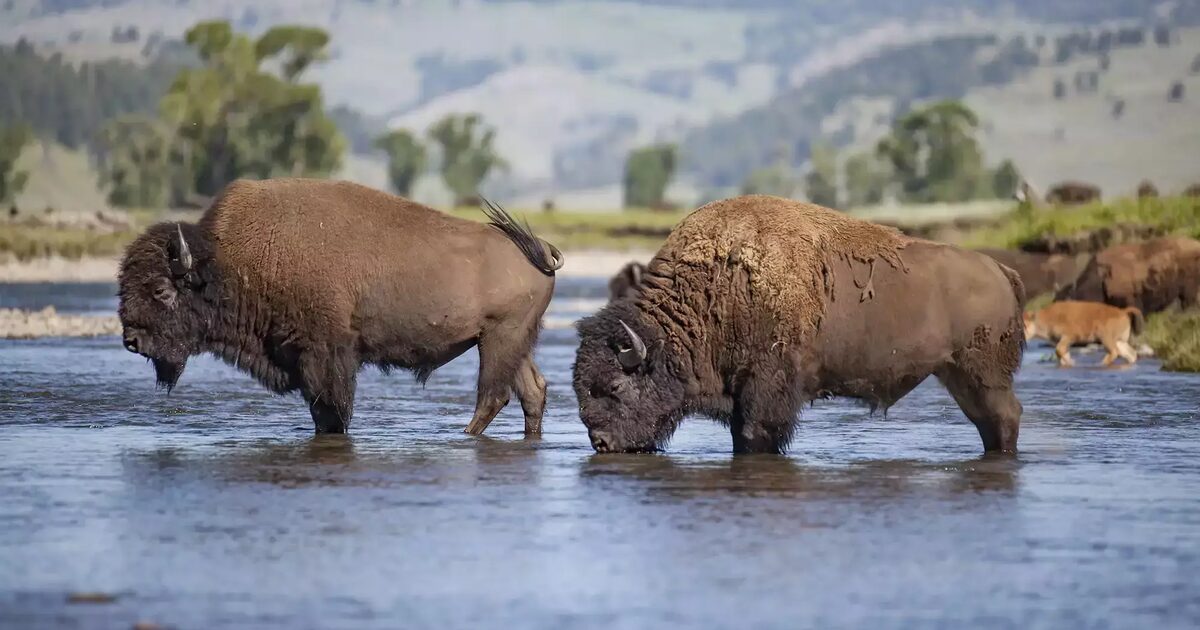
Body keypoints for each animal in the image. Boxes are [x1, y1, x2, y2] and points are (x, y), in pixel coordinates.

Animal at [118, 178, 563, 436]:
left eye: (161, 290)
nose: (131, 341)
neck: (228, 261)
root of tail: (537, 248)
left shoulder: (325, 356)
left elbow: (332, 411)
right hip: (506, 342)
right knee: (531, 391)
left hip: (501, 340)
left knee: (494, 396)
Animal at [573, 195, 1026, 455]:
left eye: (614, 387)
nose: (601, 443)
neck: (716, 289)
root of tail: (1001, 271)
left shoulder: (767, 390)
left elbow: (757, 435)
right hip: (956, 374)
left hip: (983, 374)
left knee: (1004, 417)